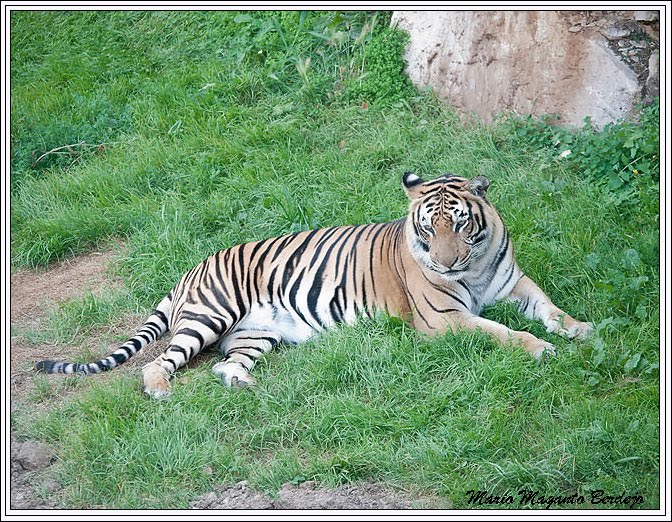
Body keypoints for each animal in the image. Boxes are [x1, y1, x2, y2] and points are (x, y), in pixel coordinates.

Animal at [36, 173, 593, 399]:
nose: (446, 261)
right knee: (159, 363)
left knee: (225, 367)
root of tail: (189, 270)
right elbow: (502, 333)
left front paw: (580, 329)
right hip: (209, 317)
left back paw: (250, 387)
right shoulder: (444, 320)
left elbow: (550, 308)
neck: (472, 269)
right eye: (428, 230)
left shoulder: (515, 285)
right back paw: (160, 392)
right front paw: (540, 349)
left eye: (458, 223)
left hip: (254, 335)